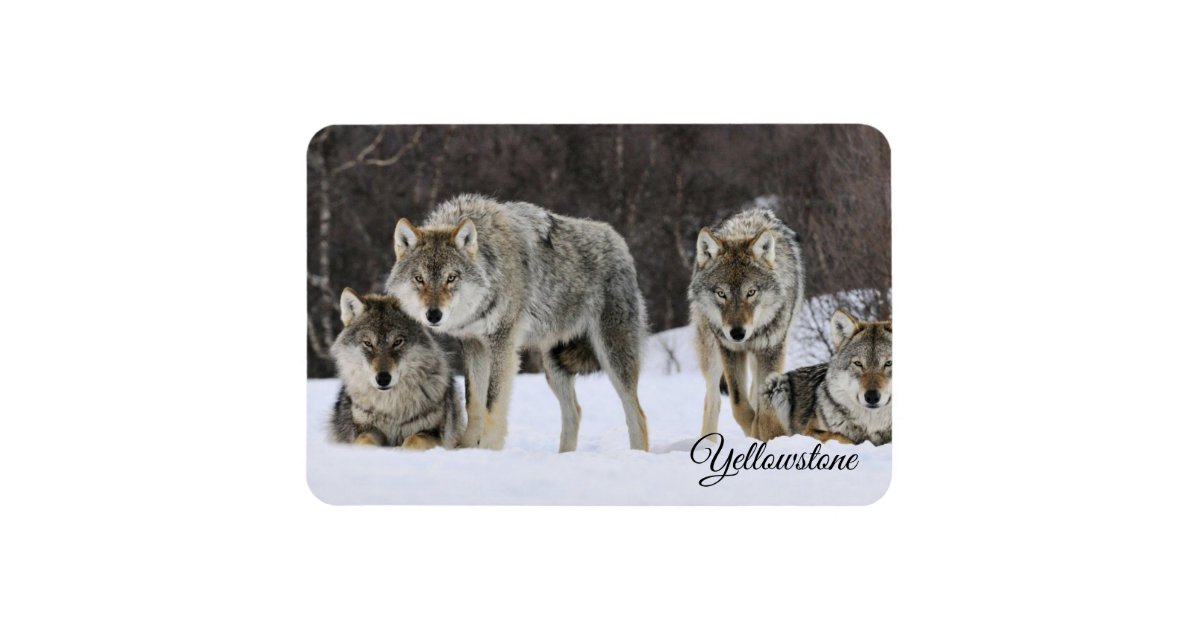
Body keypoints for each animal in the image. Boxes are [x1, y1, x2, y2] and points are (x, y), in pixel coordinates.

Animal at [329, 288, 464, 450]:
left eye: (397, 342)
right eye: (368, 343)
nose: (383, 379)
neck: (390, 408)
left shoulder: (434, 433)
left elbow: (413, 440)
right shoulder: (365, 429)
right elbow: (364, 441)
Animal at [385, 194, 649, 452]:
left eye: (451, 278)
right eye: (419, 279)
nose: (433, 315)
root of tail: (619, 241)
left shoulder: (502, 343)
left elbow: (492, 403)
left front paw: (489, 450)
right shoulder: (473, 345)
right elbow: (474, 402)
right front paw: (467, 448)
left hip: (613, 357)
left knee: (637, 414)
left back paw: (637, 454)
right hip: (554, 366)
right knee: (575, 412)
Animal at [689, 207, 805, 439]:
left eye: (751, 292)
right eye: (721, 294)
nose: (737, 333)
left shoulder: (772, 349)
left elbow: (763, 404)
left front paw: (765, 434)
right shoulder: (730, 350)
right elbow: (739, 404)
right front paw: (753, 430)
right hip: (711, 352)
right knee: (713, 399)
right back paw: (708, 443)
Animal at [759, 309, 892, 445]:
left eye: (888, 363)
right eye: (858, 363)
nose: (872, 397)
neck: (871, 426)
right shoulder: (809, 432)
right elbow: (842, 437)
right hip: (775, 384)